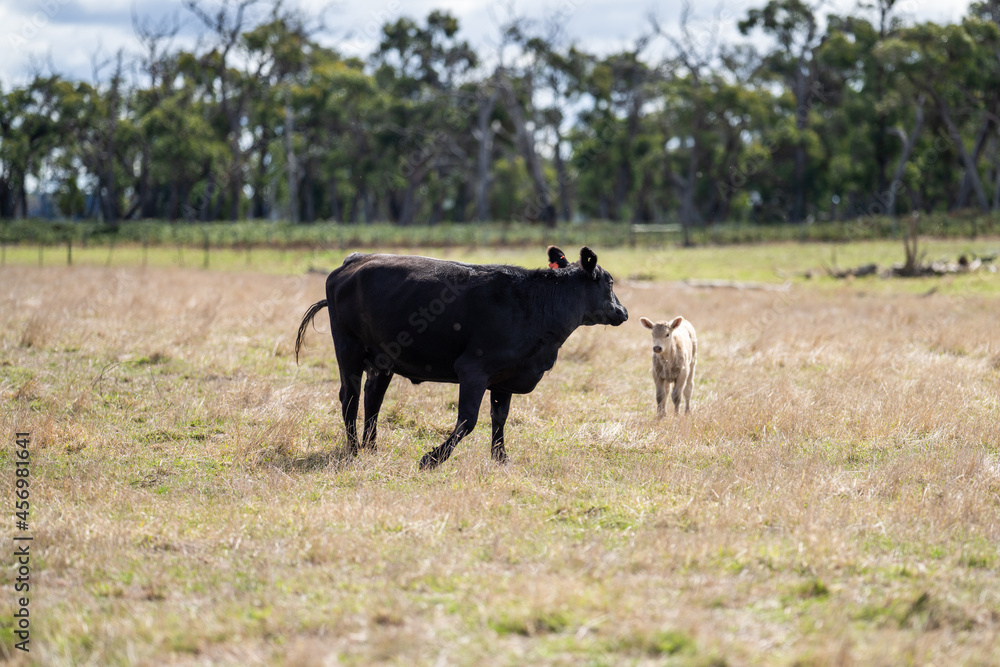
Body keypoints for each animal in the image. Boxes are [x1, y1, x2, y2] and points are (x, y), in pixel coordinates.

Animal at [295, 246, 628, 469]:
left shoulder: (505, 377)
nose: (623, 312)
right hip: (348, 350)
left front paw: (500, 459)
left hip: (383, 360)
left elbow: (499, 418)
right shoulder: (473, 369)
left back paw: (371, 448)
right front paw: (432, 459)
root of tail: (355, 259)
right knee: (350, 397)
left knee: (372, 398)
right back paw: (353, 450)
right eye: (610, 283)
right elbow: (468, 420)